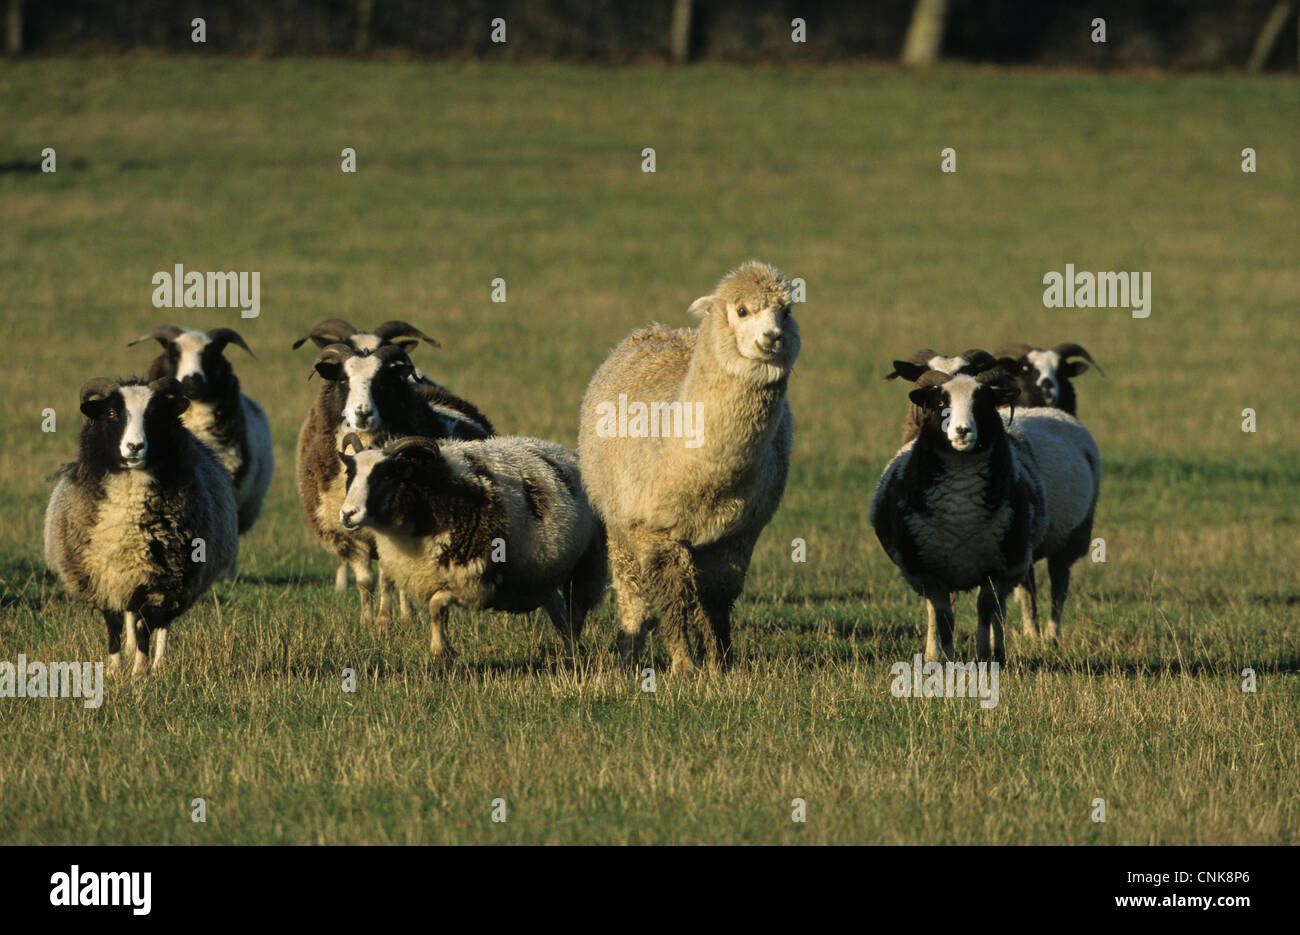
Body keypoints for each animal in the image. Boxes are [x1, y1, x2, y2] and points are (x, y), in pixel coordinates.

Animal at [43, 377, 237, 676]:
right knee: (130, 616)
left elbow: (147, 626)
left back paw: (158, 663)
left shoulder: (163, 579)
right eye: (112, 413)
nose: (135, 447)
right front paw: (114, 669)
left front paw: (140, 672)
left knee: (160, 624)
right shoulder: (102, 577)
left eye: (155, 414)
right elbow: (114, 625)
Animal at [296, 343, 492, 627]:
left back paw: (405, 616)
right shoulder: (350, 535)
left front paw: (385, 621)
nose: (362, 414)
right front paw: (366, 622)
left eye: (381, 382)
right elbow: (365, 581)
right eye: (343, 379)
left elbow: (389, 580)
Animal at [337, 434, 606, 659]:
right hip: (543, 574)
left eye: (385, 476)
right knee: (556, 606)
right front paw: (442, 651)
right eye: (349, 475)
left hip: (588, 562)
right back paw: (567, 646)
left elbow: (436, 606)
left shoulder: (471, 578)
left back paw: (573, 650)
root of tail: (569, 454)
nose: (348, 514)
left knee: (576, 610)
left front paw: (440, 650)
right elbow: (438, 612)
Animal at [577, 260, 799, 674]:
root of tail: (658, 330)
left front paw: (718, 664)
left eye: (787, 311)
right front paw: (683, 666)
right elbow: (673, 597)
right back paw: (629, 656)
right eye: (741, 310)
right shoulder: (654, 529)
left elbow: (714, 600)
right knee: (634, 596)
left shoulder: (735, 535)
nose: (773, 337)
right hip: (618, 521)